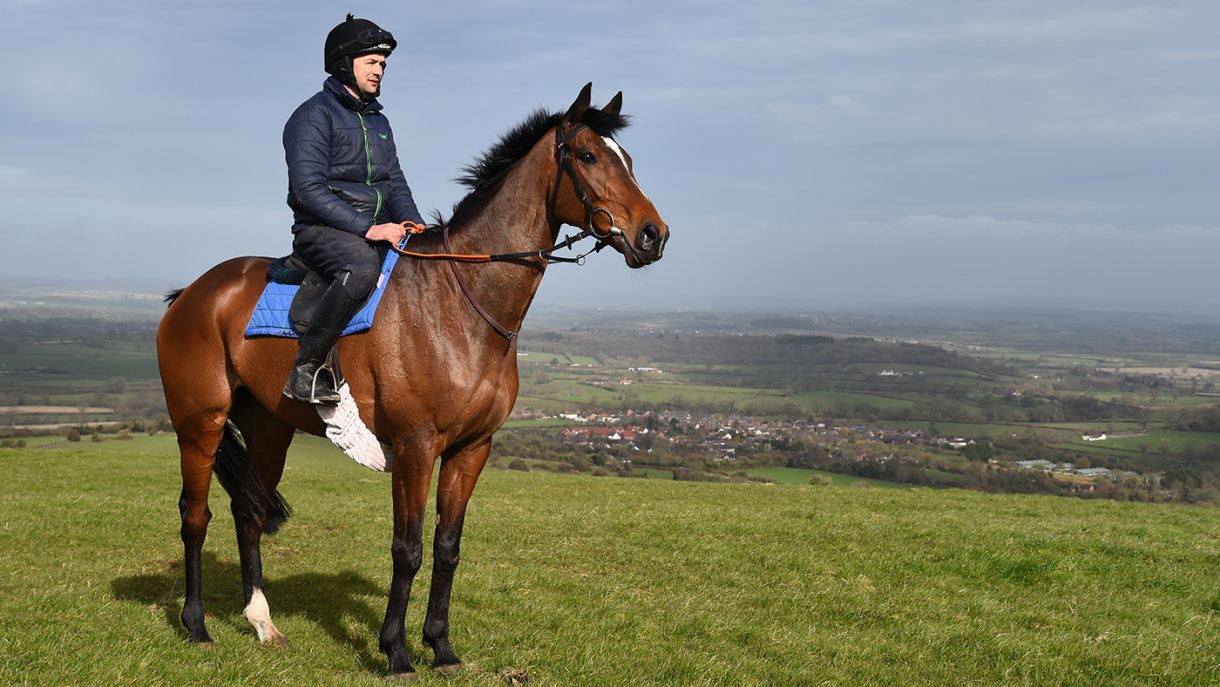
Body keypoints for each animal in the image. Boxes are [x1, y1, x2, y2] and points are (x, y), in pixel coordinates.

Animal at [156, 83, 667, 678]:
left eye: (627, 159)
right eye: (587, 156)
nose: (653, 235)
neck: (463, 301)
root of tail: (192, 294)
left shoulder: (471, 449)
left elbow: (447, 547)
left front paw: (441, 646)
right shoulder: (416, 447)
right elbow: (408, 549)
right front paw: (396, 652)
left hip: (268, 430)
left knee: (249, 511)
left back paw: (262, 622)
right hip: (200, 425)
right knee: (196, 515)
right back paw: (196, 626)